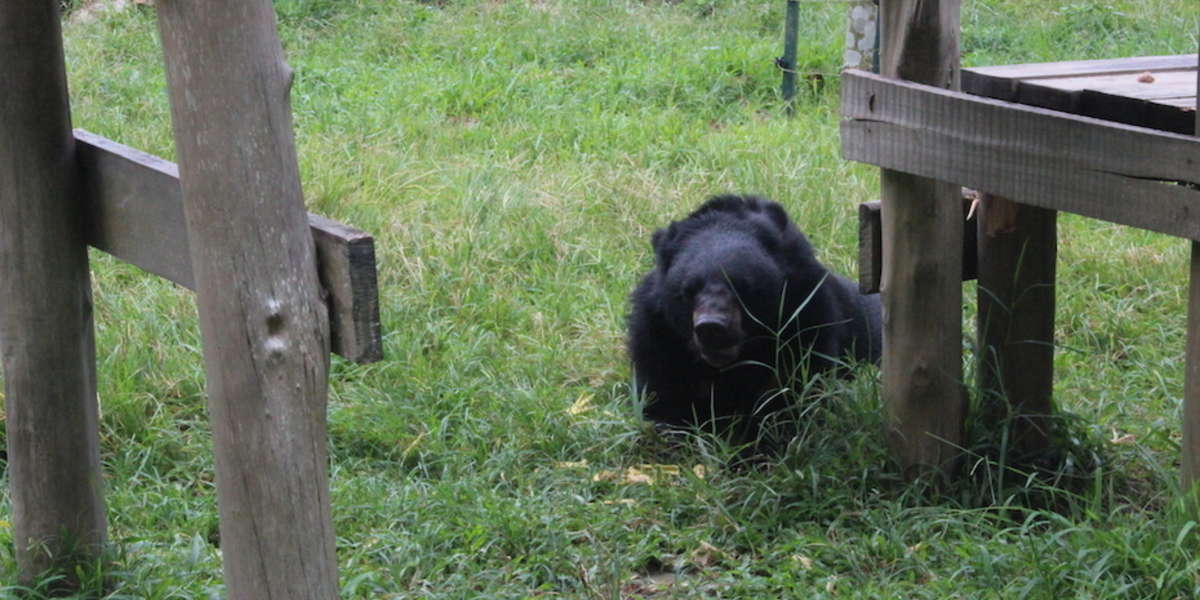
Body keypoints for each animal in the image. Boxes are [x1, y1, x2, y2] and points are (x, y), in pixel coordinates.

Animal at [627, 194, 881, 440]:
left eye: (742, 287)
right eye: (688, 291)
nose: (711, 327)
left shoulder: (807, 317)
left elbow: (795, 389)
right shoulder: (658, 335)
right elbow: (663, 393)